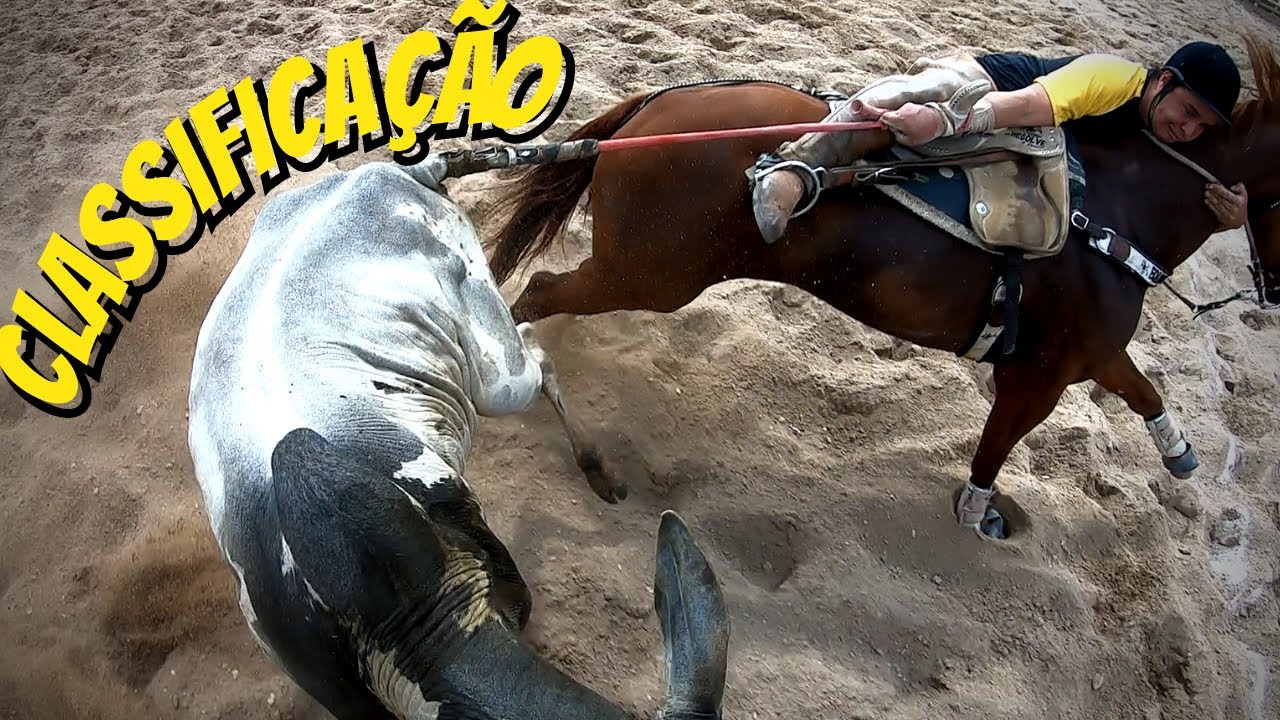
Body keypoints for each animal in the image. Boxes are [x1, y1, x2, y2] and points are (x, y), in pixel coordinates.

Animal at [465, 35, 1280, 534]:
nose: (1272, 291)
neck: (1111, 210)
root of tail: (656, 106)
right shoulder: (1038, 379)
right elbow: (994, 450)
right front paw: (979, 515)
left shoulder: (1086, 356)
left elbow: (1143, 390)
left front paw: (1181, 456)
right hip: (646, 274)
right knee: (539, 294)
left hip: (643, 273)